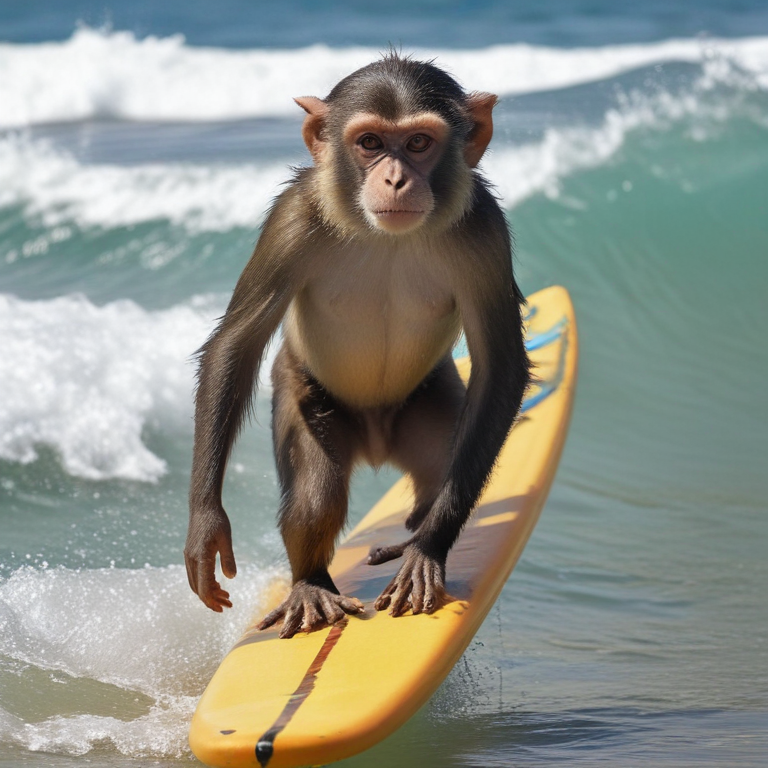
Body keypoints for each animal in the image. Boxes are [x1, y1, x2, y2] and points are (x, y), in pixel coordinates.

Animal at [184, 53, 530, 639]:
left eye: (418, 143)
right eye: (370, 142)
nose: (394, 178)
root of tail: (376, 440)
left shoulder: (484, 229)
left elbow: (501, 364)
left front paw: (428, 550)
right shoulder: (292, 219)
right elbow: (238, 342)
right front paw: (206, 524)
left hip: (427, 401)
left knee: (440, 464)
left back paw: (412, 540)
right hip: (307, 394)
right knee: (316, 492)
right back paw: (310, 584)